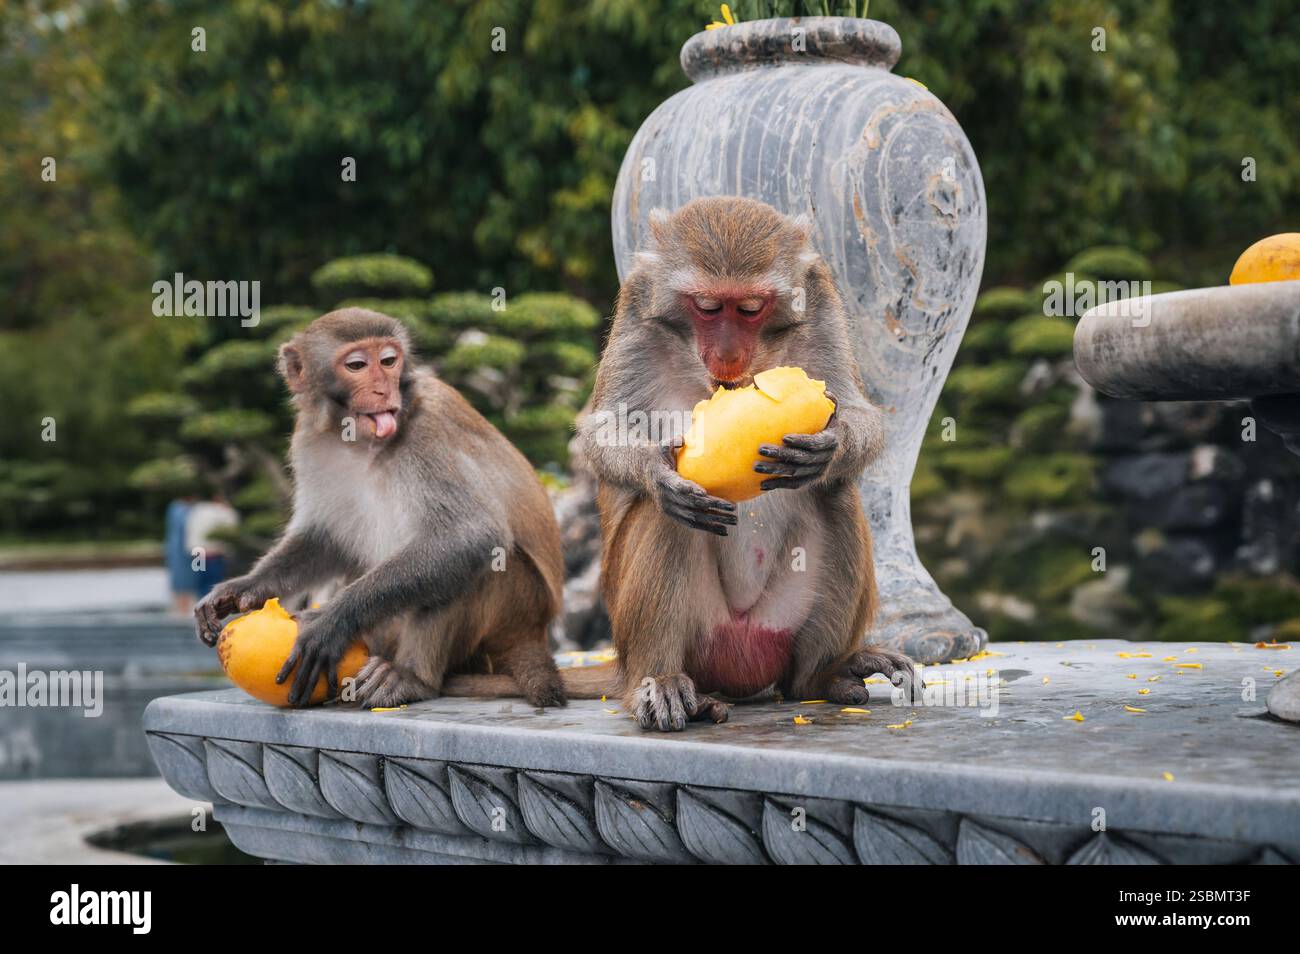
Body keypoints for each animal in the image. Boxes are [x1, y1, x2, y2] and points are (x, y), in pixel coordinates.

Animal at [193, 307, 568, 710]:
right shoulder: (308, 439)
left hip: (516, 610)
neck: (358, 440)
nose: (383, 390)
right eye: (357, 365)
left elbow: (469, 534)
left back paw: (411, 678)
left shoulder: (428, 431)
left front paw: (332, 621)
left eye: (389, 361)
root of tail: (534, 633)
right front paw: (242, 587)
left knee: (478, 561)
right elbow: (324, 538)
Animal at [573, 196, 919, 732]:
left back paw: (826, 674)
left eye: (751, 308)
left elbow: (858, 413)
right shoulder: (637, 309)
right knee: (669, 515)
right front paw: (655, 469)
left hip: (775, 627)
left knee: (834, 493)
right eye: (708, 307)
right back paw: (663, 682)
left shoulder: (820, 302)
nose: (730, 355)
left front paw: (830, 445)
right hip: (682, 633)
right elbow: (601, 431)